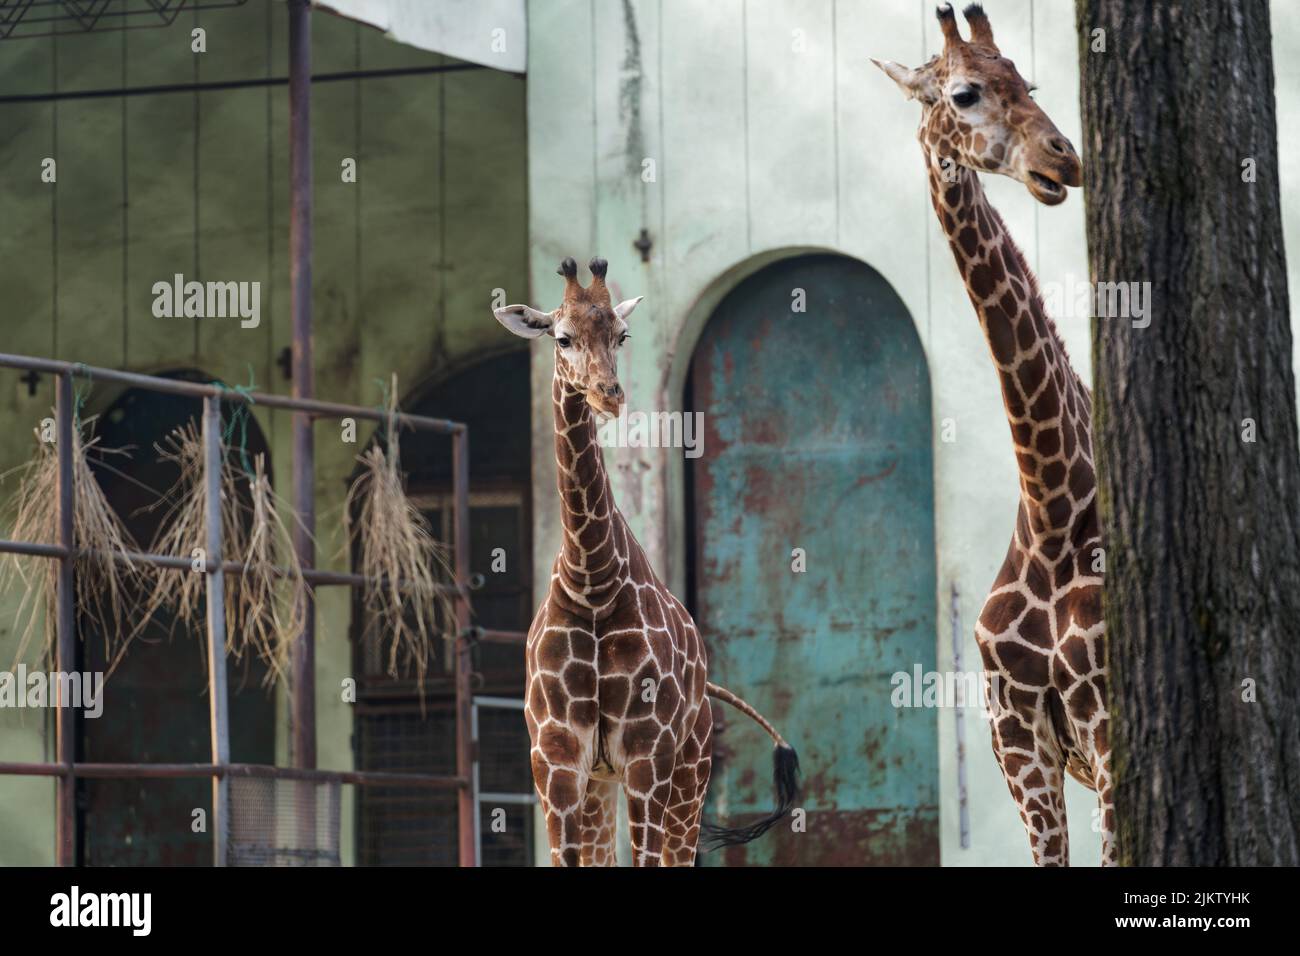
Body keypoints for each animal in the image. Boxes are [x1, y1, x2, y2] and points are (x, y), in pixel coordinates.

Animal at [494, 256, 799, 867]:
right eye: (561, 337)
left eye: (622, 334)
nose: (610, 396)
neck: (591, 578)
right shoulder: (556, 761)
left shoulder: (646, 755)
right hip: (601, 784)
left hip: (689, 774)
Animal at [874, 3, 1113, 866]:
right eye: (965, 92)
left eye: (1029, 81)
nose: (1064, 159)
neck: (1050, 506)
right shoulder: (1018, 745)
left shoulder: (1107, 732)